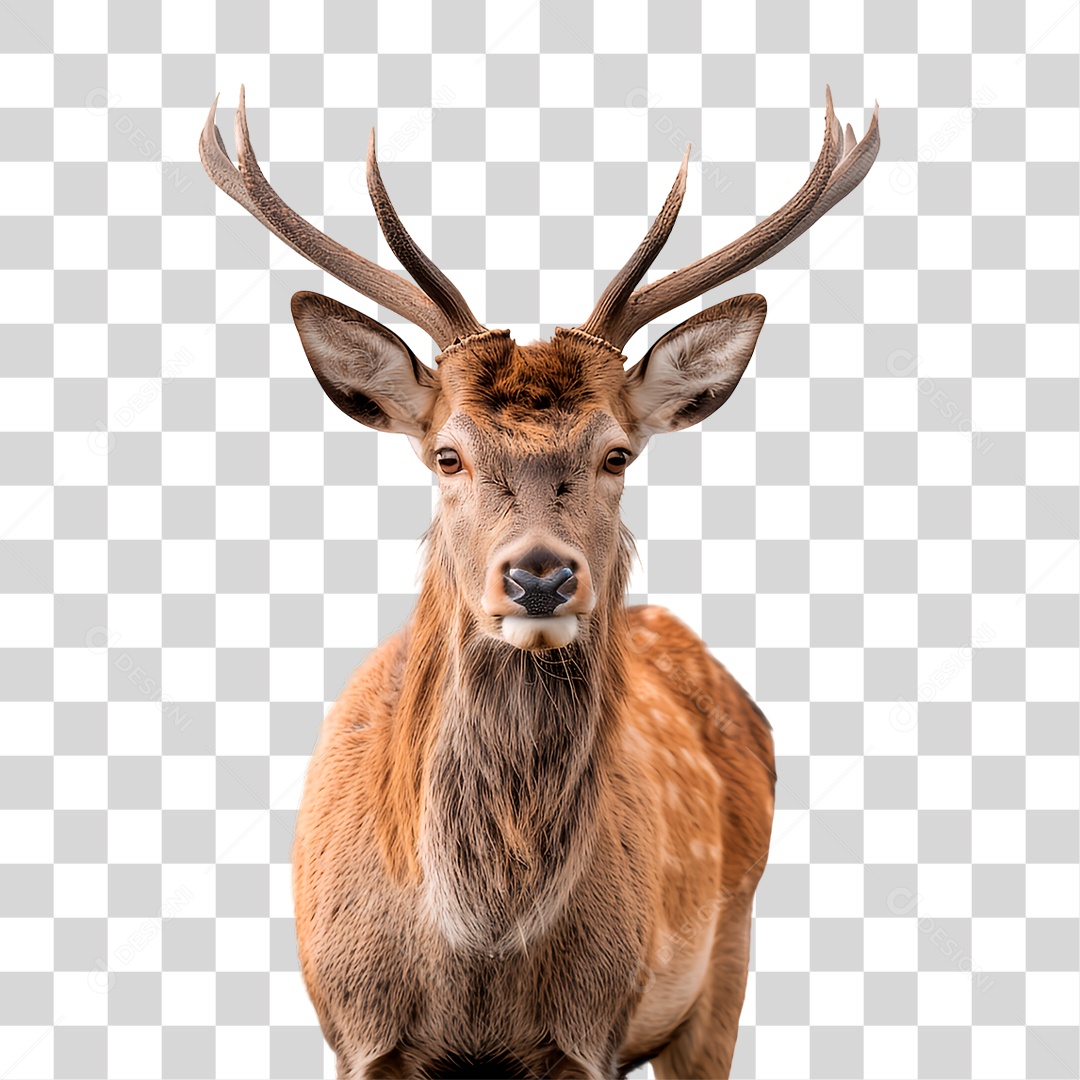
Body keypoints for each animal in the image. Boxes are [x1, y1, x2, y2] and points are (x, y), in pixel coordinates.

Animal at [200, 86, 878, 1080]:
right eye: (447, 454)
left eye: (617, 454)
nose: (541, 577)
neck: (479, 950)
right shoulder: (353, 1024)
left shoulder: (590, 1026)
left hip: (725, 965)